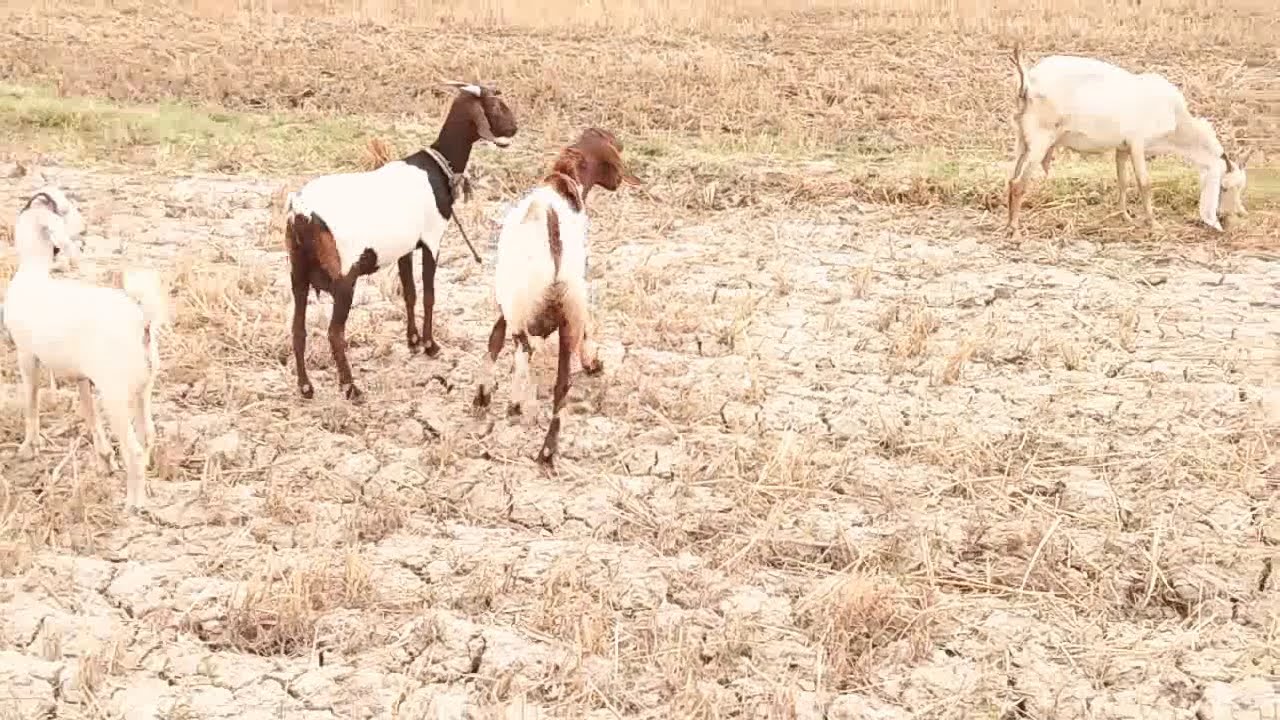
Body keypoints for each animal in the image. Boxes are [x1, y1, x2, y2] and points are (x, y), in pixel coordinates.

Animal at [3, 187, 168, 511]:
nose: (85, 230)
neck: (34, 274)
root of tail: (141, 320)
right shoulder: (83, 377)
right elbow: (89, 414)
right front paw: (104, 460)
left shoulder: (27, 356)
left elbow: (31, 402)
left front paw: (29, 447)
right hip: (143, 388)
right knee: (148, 436)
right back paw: (145, 489)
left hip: (116, 395)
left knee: (133, 450)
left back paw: (132, 505)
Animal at [285, 81, 517, 402]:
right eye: (494, 104)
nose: (515, 128)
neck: (437, 168)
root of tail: (301, 213)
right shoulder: (432, 240)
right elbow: (429, 294)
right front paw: (430, 345)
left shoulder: (405, 249)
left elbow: (410, 293)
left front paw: (413, 340)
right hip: (344, 277)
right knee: (334, 332)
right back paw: (351, 387)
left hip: (297, 274)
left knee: (298, 329)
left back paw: (306, 386)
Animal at [472, 127, 641, 466]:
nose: (620, 181)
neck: (561, 185)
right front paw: (593, 362)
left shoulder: (509, 306)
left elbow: (495, 339)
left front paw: (485, 393)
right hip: (569, 311)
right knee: (560, 383)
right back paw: (547, 448)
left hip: (525, 307)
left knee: (523, 352)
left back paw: (518, 409)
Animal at [1006, 48, 1251, 234]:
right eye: (1225, 187)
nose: (1232, 216)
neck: (1176, 119)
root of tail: (1028, 82)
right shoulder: (1137, 144)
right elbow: (1145, 183)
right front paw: (1154, 223)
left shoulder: (1122, 148)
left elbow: (1122, 181)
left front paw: (1125, 216)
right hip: (1040, 139)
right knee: (1019, 183)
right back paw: (1015, 229)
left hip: (1022, 140)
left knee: (1011, 178)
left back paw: (1009, 222)